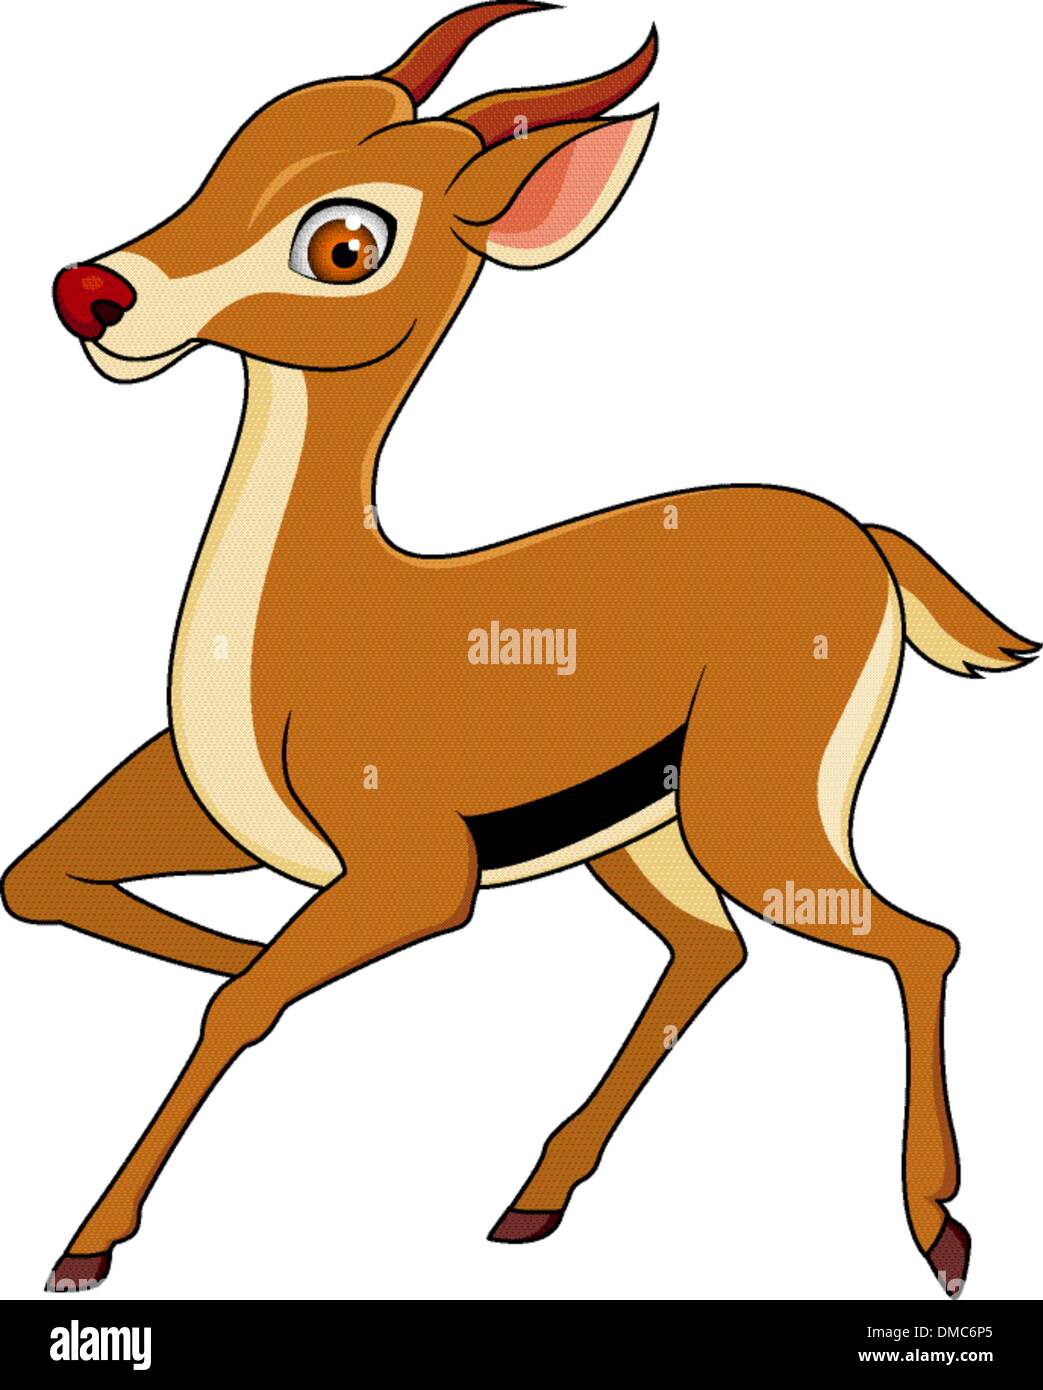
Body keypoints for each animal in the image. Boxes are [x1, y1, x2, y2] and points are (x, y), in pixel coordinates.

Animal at [6, 1, 1035, 1296]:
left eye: (345, 242)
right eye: (239, 144)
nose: (92, 294)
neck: (314, 624)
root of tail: (858, 532)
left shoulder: (418, 876)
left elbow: (241, 1004)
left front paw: (86, 1245)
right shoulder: (198, 822)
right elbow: (43, 886)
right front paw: (221, 951)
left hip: (754, 817)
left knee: (920, 938)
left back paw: (938, 1229)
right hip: (644, 837)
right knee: (710, 951)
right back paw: (530, 1203)